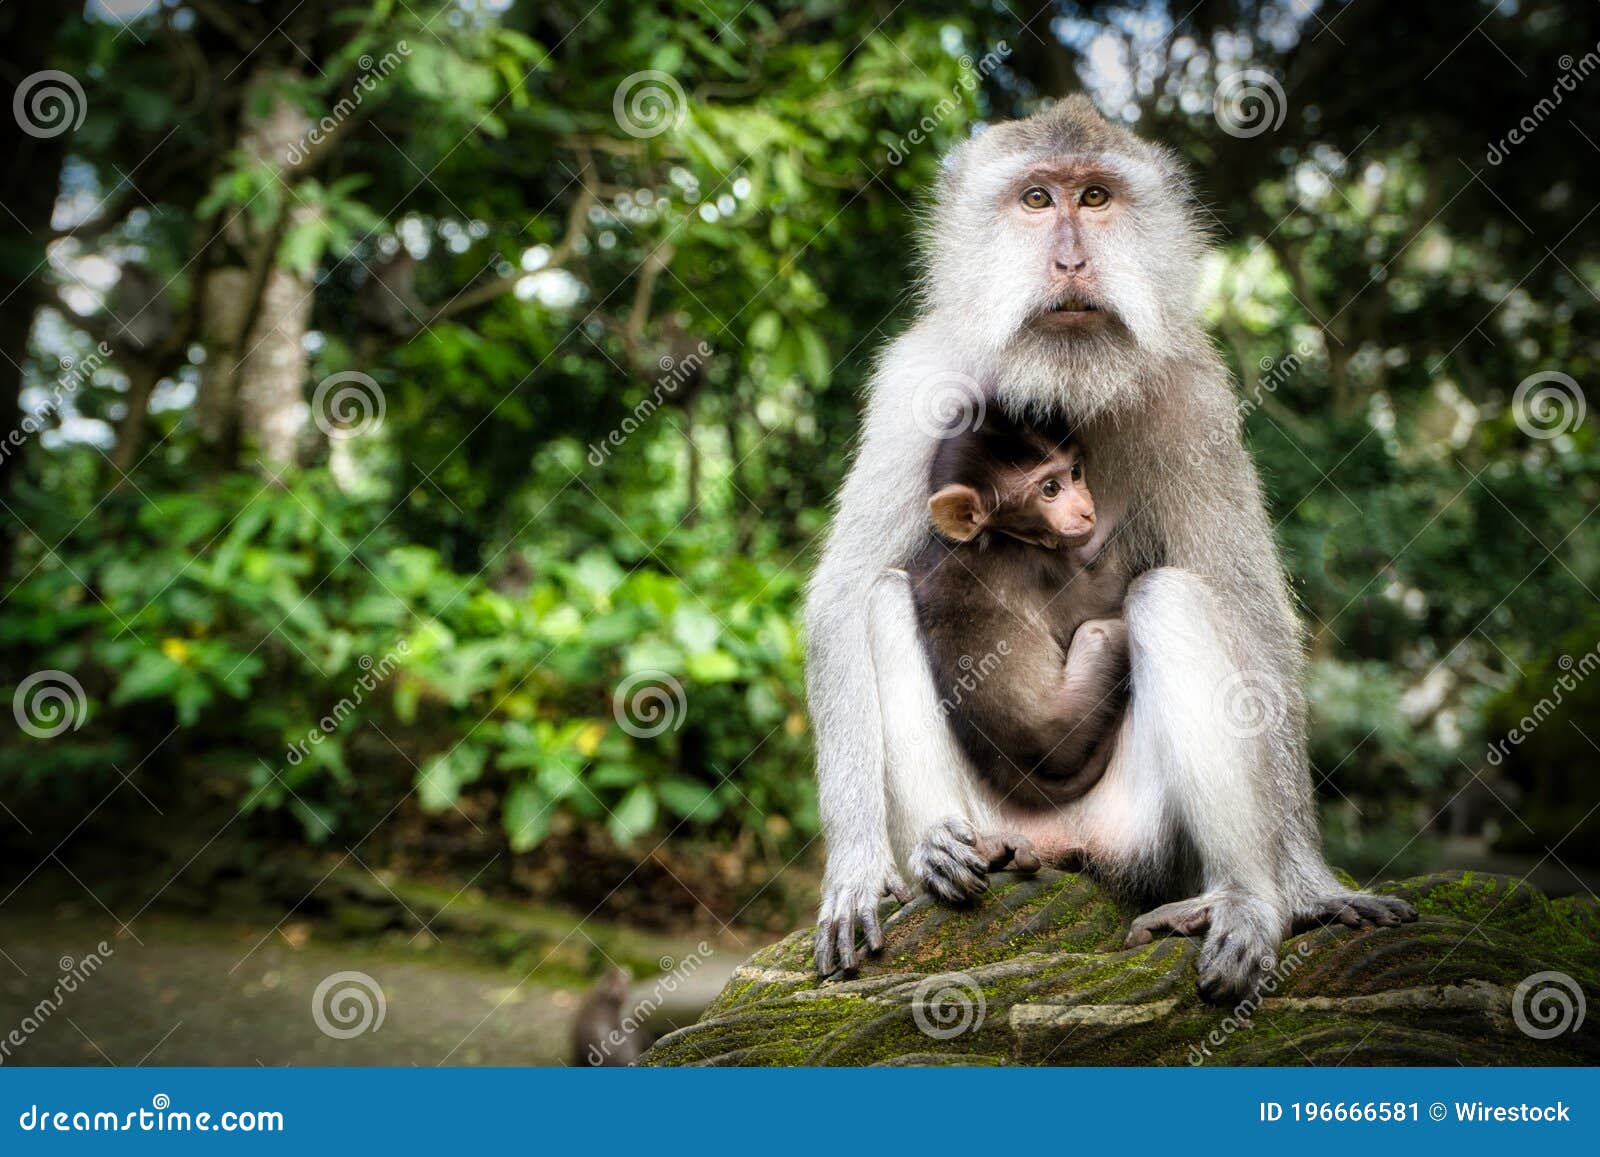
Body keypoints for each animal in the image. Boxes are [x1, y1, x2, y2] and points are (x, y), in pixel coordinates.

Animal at [906, 410, 1131, 827]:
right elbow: (1103, 596)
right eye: (1050, 489)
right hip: (1072, 723)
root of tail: (1007, 759)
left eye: (1075, 472)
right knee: (1102, 632)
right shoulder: (1041, 568)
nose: (1085, 510)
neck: (998, 534)